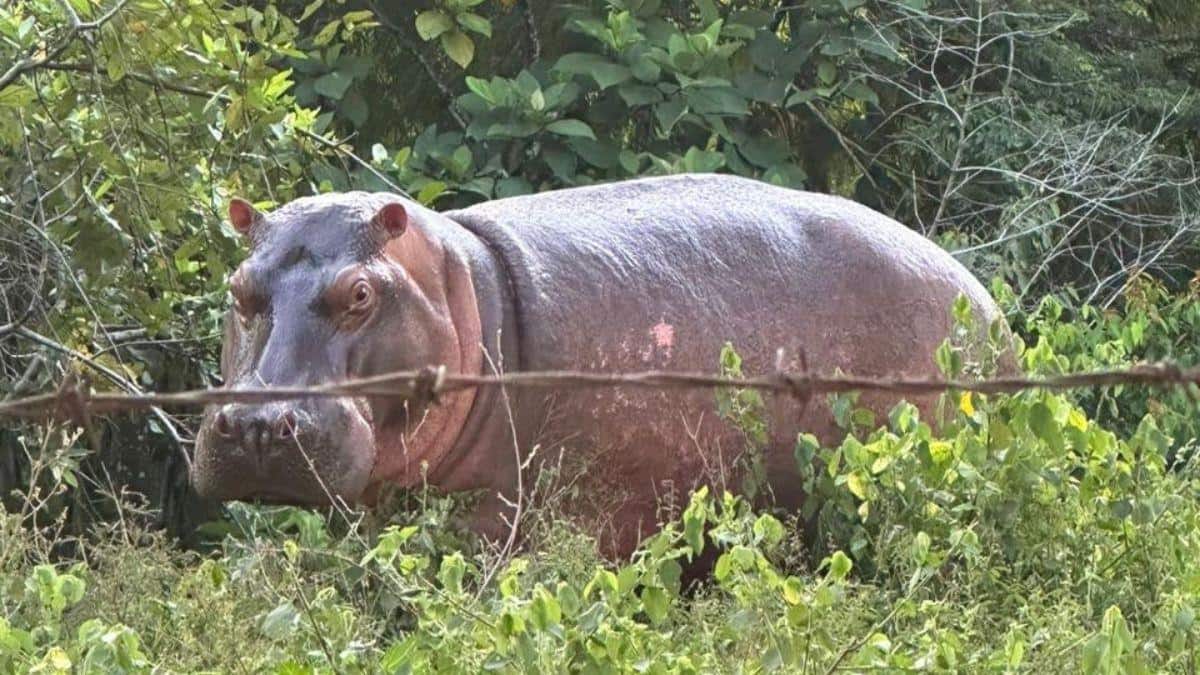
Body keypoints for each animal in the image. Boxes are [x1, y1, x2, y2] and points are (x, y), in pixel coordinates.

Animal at [193, 174, 1006, 556]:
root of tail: (987, 304)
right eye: (237, 287)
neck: (460, 283)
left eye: (360, 292)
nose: (259, 424)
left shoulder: (505, 522)